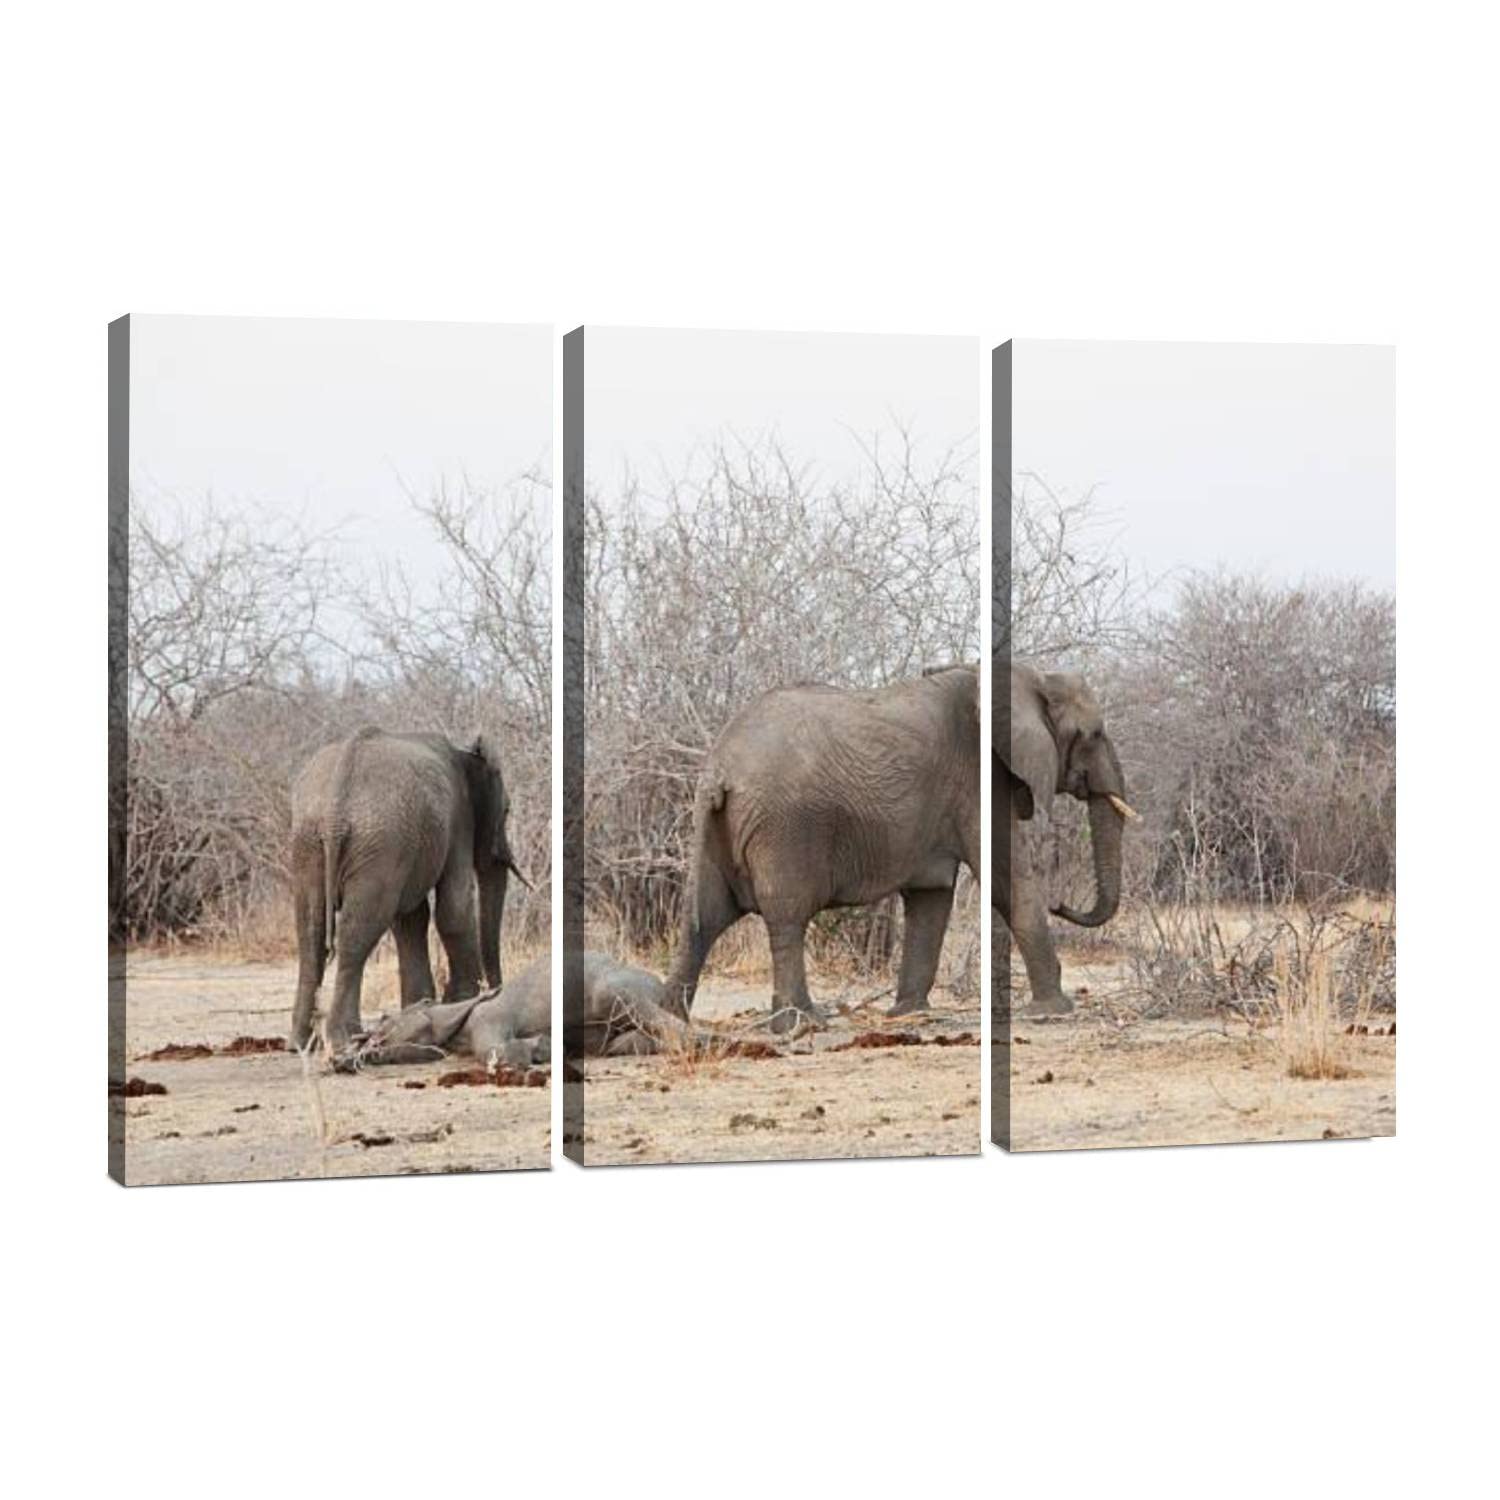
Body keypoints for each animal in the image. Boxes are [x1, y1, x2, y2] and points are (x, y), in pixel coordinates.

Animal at [289, 728, 524, 1052]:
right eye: (507, 810)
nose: (492, 991)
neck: (465, 754)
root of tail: (335, 808)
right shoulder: (457, 821)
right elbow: (455, 908)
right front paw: (459, 1001)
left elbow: (411, 919)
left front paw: (422, 1007)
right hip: (379, 840)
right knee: (357, 932)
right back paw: (344, 1039)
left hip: (310, 841)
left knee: (311, 932)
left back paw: (301, 1043)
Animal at [661, 664, 979, 1032]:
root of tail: (719, 767)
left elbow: (930, 896)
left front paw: (910, 1013)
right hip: (783, 825)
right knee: (788, 913)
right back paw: (801, 1022)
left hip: (716, 823)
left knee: (706, 913)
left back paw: (666, 1019)